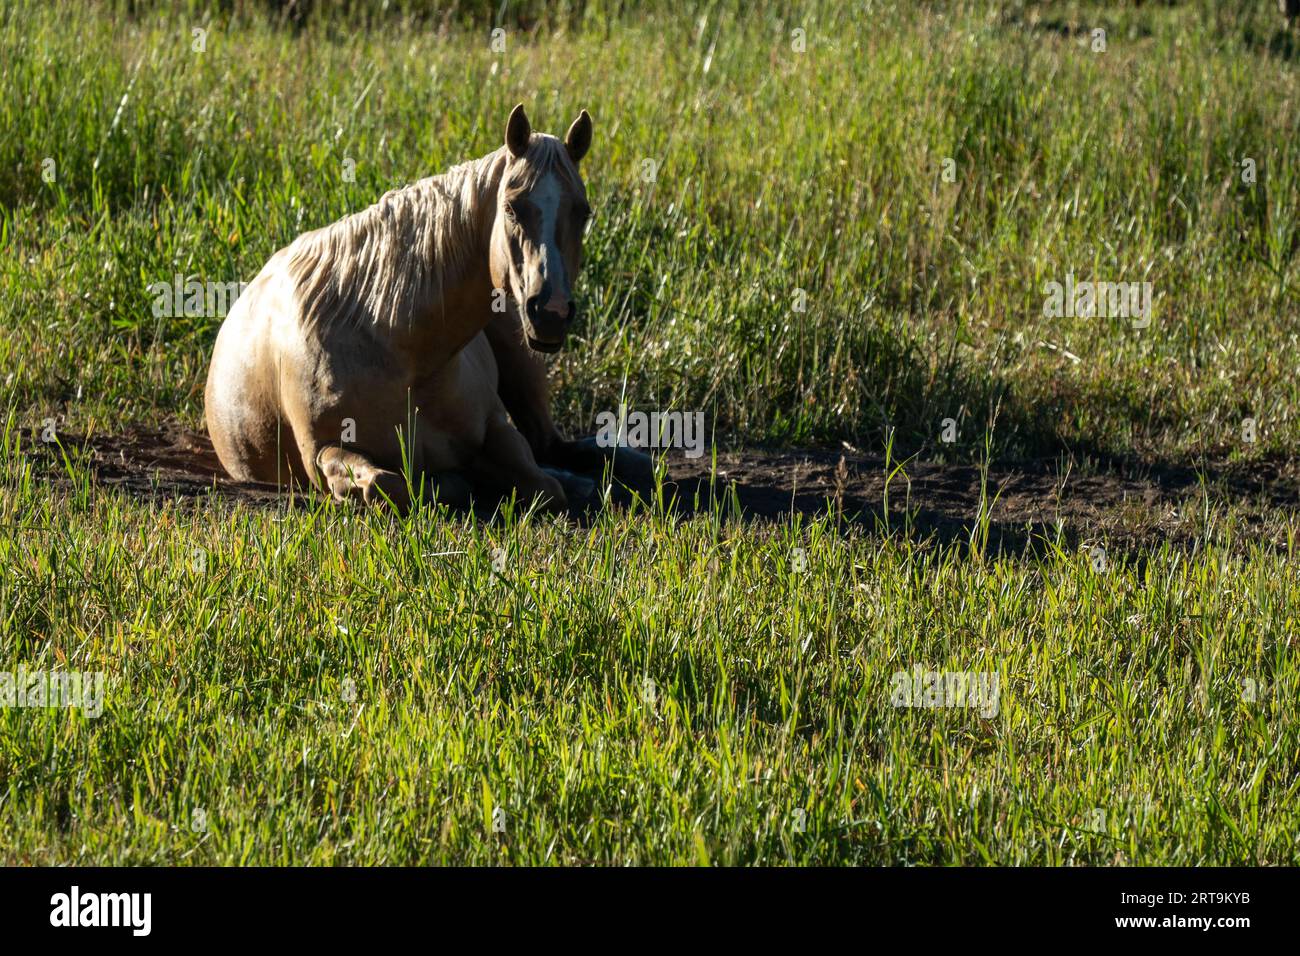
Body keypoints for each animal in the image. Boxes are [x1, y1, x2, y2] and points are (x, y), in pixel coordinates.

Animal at [204, 104, 648, 510]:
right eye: (511, 207)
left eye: (583, 211)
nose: (551, 312)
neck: (402, 351)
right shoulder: (323, 455)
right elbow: (387, 484)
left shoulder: (497, 425)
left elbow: (542, 484)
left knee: (551, 445)